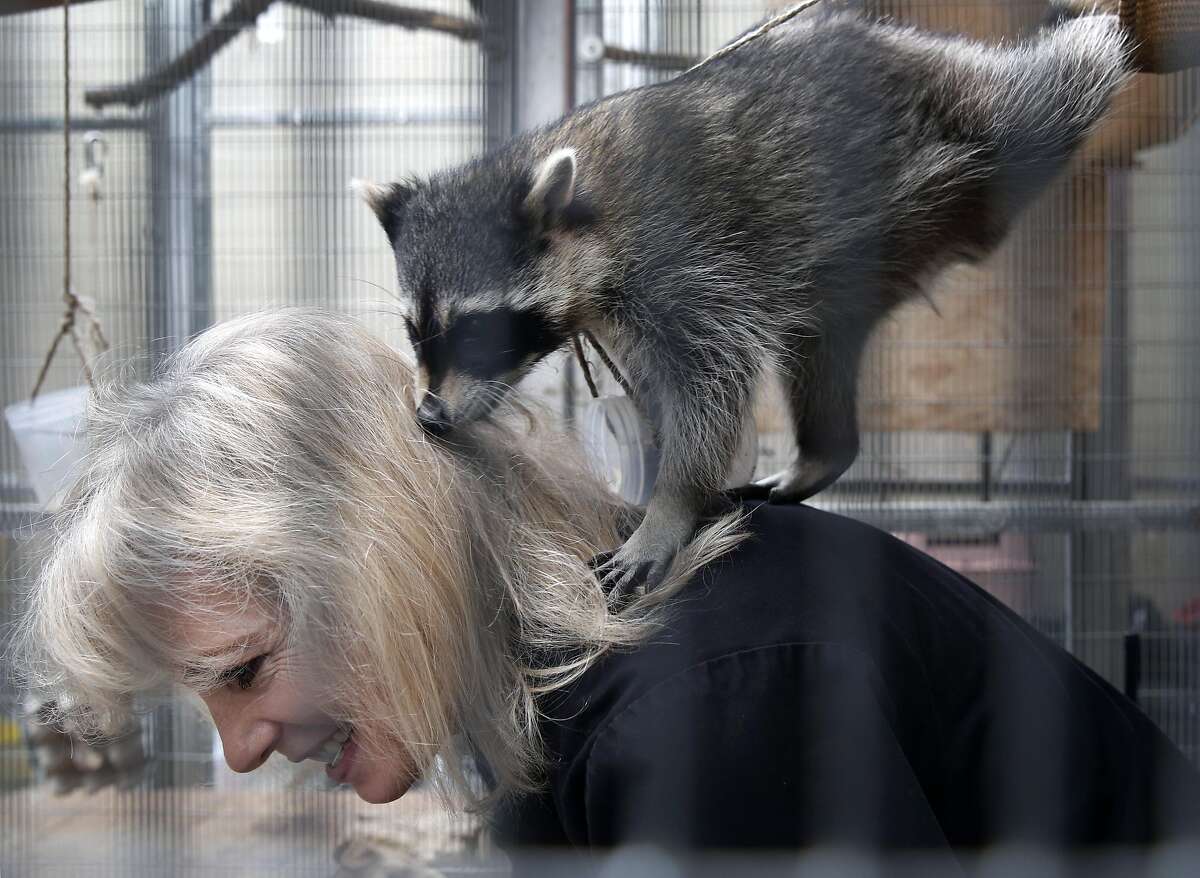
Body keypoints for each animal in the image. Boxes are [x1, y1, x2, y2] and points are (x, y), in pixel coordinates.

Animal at [358, 8, 1130, 597]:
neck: (582, 199)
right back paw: (828, 448)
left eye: (478, 330)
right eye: (416, 331)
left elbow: (711, 387)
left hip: (949, 139)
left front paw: (671, 503)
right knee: (818, 344)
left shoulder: (686, 259)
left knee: (1058, 86)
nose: (429, 414)